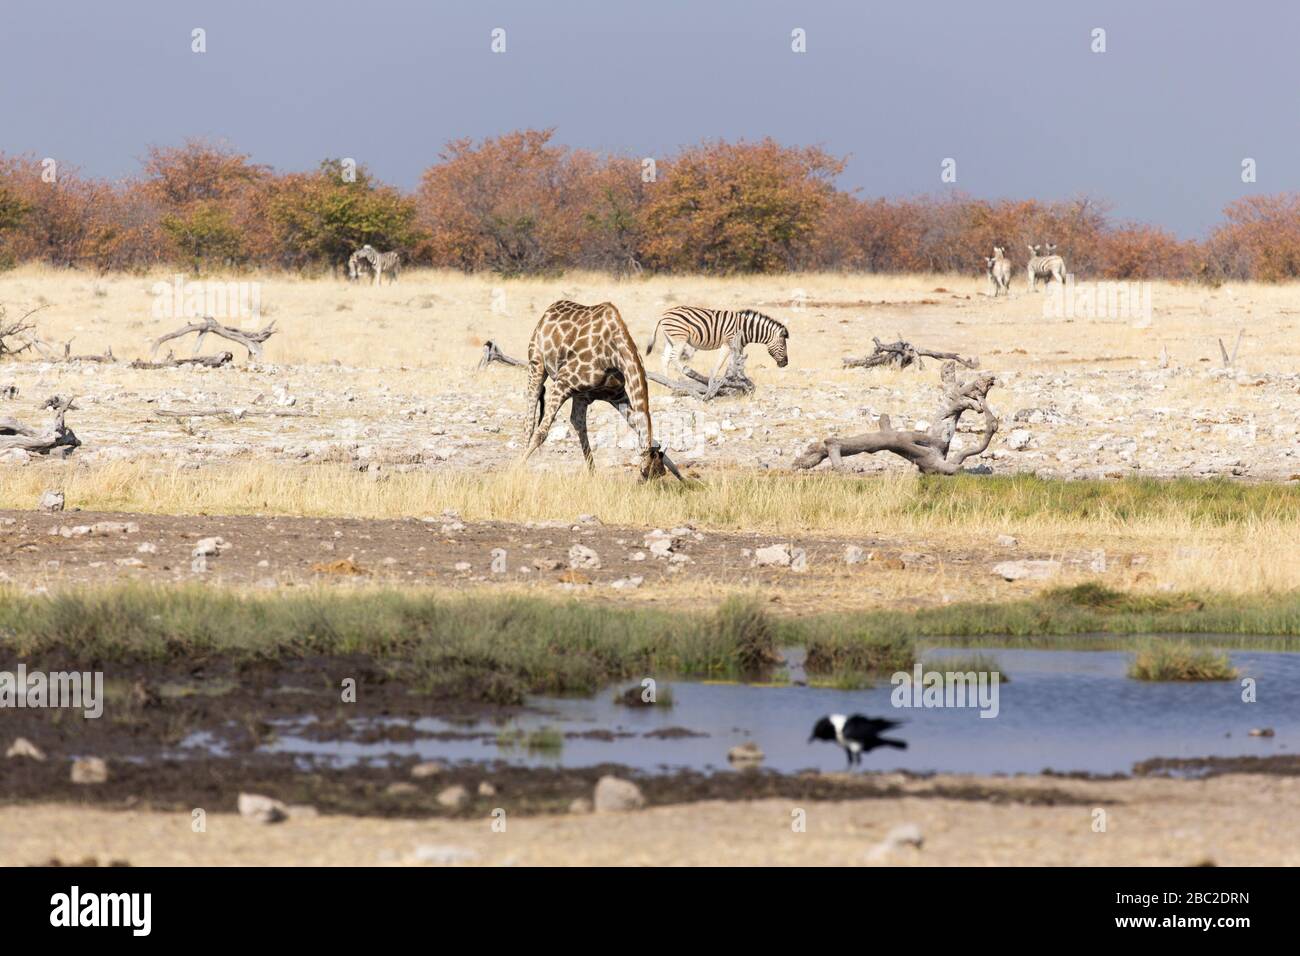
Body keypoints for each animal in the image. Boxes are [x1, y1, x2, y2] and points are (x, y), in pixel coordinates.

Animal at [521, 300, 683, 481]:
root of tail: (549, 310)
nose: (642, 483)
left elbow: (647, 435)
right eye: (644, 472)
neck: (614, 354)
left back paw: (593, 473)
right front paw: (515, 470)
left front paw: (683, 478)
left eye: (658, 474)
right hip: (536, 364)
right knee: (530, 414)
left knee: (577, 422)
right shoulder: (563, 383)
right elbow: (541, 433)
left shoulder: (616, 395)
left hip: (580, 395)